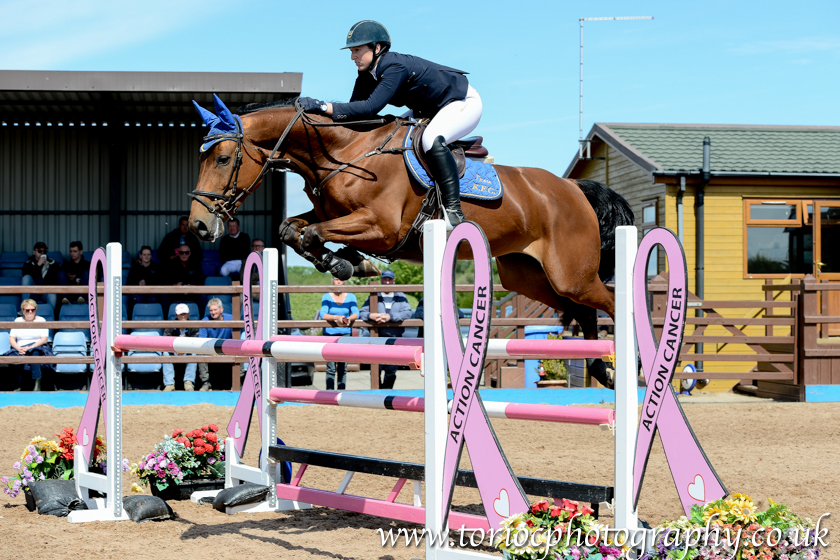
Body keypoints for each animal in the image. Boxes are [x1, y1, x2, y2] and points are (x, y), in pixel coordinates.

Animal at [187, 97, 634, 385]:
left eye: (223, 159)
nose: (198, 226)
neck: (345, 152)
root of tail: (574, 188)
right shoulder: (333, 215)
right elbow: (291, 230)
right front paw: (348, 262)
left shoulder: (383, 228)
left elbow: (313, 233)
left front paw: (349, 262)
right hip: (528, 276)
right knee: (582, 310)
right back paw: (601, 369)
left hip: (571, 273)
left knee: (610, 302)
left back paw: (631, 363)